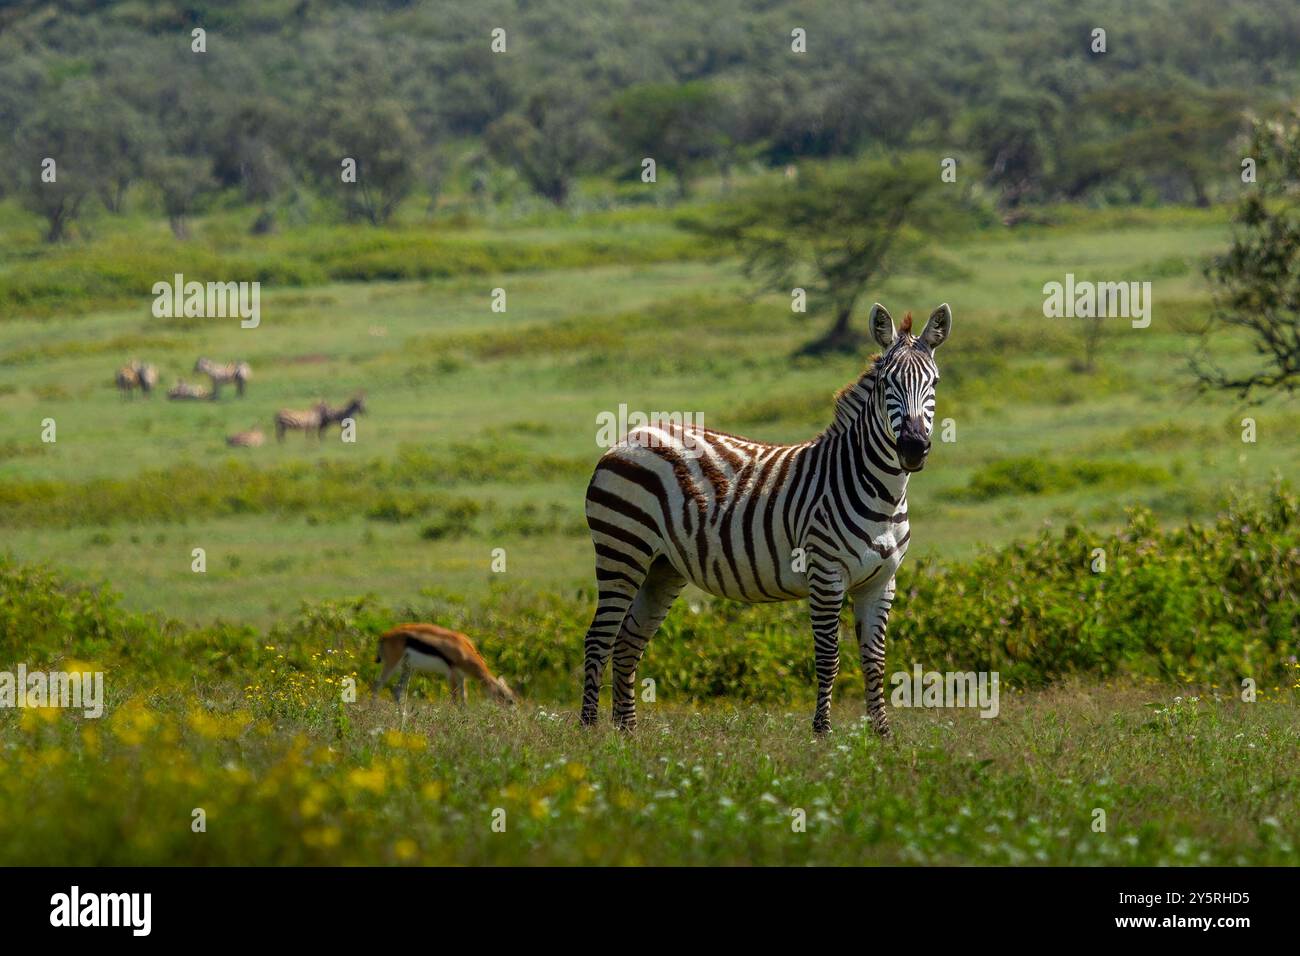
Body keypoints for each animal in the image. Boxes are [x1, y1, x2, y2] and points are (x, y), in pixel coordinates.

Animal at [578, 303, 952, 738]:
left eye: (935, 382)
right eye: (886, 384)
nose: (913, 447)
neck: (881, 492)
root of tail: (630, 436)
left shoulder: (881, 582)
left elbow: (874, 662)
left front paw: (882, 736)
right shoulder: (825, 573)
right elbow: (829, 658)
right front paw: (822, 732)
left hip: (662, 567)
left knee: (627, 643)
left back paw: (629, 733)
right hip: (622, 550)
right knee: (599, 639)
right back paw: (589, 730)